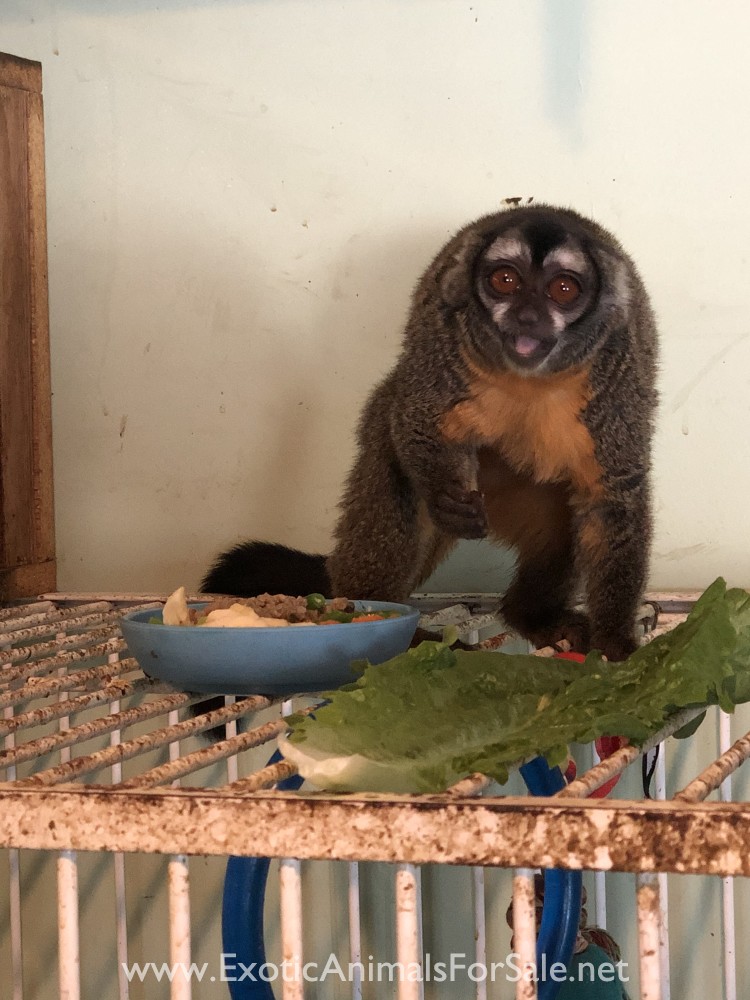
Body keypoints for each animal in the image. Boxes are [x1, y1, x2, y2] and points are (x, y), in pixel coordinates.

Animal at [202, 204, 658, 662]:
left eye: (563, 289)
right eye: (505, 280)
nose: (527, 316)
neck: (530, 380)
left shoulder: (614, 381)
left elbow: (612, 501)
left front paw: (614, 641)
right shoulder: (443, 339)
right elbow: (414, 415)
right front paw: (447, 501)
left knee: (567, 510)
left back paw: (531, 615)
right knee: (394, 466)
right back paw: (385, 621)